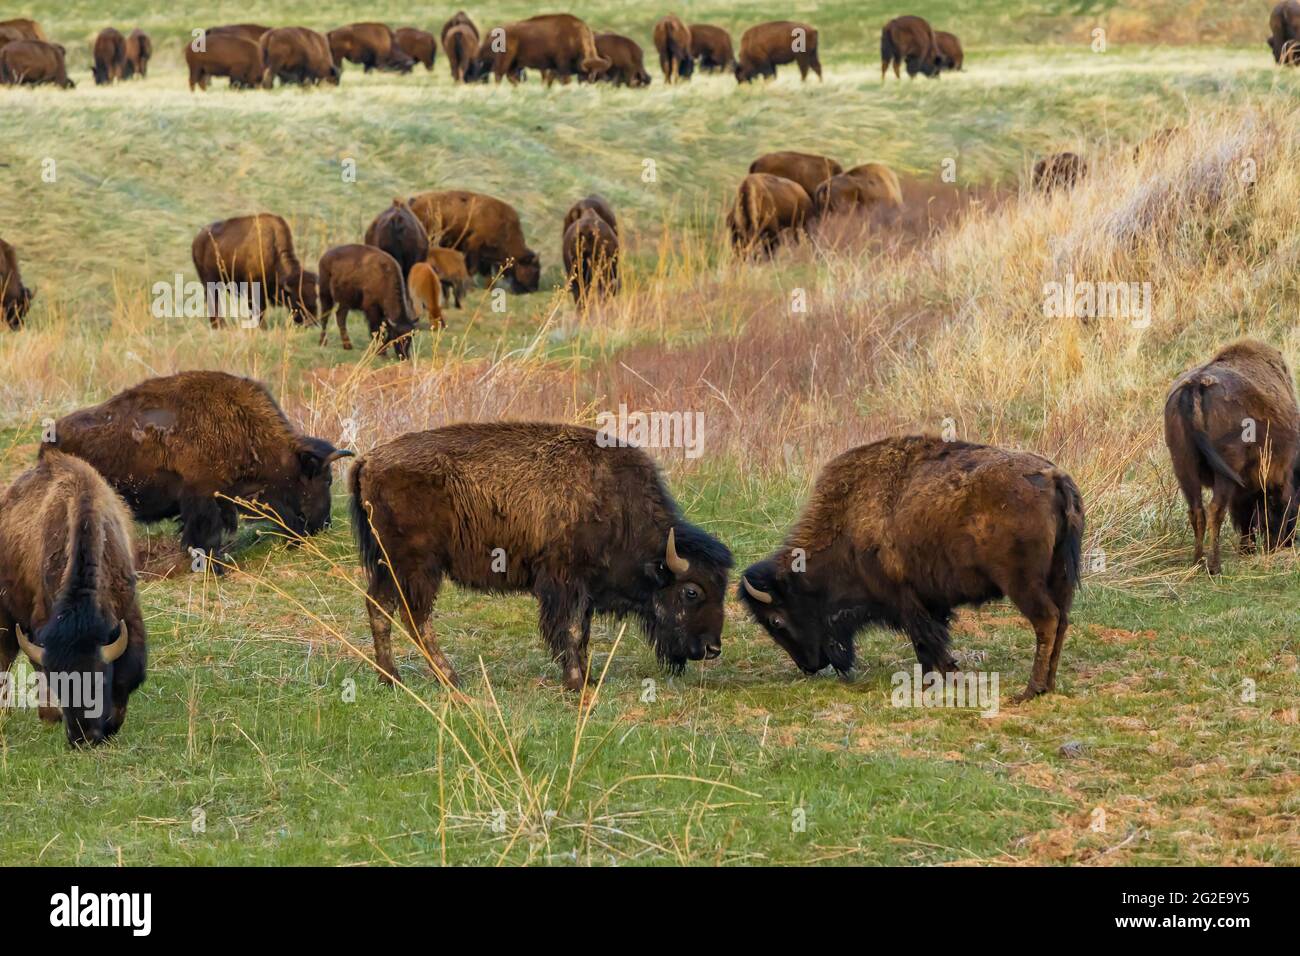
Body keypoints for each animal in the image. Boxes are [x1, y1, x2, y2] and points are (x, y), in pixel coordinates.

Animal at [0, 451, 148, 747]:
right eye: (60, 685)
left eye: (99, 681)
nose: (82, 738)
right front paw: (52, 715)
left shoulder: (127, 612)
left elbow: (127, 675)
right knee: (5, 657)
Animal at [349, 422, 733, 689]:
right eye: (691, 591)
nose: (713, 649)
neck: (618, 507)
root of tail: (368, 460)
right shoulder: (565, 582)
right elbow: (572, 630)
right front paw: (576, 682)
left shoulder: (584, 589)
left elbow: (582, 632)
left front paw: (588, 676)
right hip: (418, 566)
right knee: (415, 616)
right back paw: (451, 678)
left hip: (388, 565)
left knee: (379, 606)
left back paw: (391, 678)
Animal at [409, 190, 541, 293]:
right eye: (534, 269)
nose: (534, 289)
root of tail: (414, 202)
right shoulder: (474, 247)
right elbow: (472, 268)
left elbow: (487, 273)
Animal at [740, 436, 1085, 702]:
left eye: (776, 620)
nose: (810, 666)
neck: (848, 521)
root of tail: (1055, 478)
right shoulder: (929, 602)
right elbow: (930, 638)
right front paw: (933, 679)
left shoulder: (904, 599)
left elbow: (925, 638)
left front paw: (947, 675)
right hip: (1061, 579)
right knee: (1062, 621)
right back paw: (1048, 685)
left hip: (1023, 583)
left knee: (1047, 620)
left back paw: (1029, 690)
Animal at [1164, 340, 1300, 574]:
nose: (1285, 543)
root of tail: (1196, 385)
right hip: (1226, 470)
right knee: (1215, 510)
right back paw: (1215, 565)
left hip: (1183, 465)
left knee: (1197, 510)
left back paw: (1197, 561)